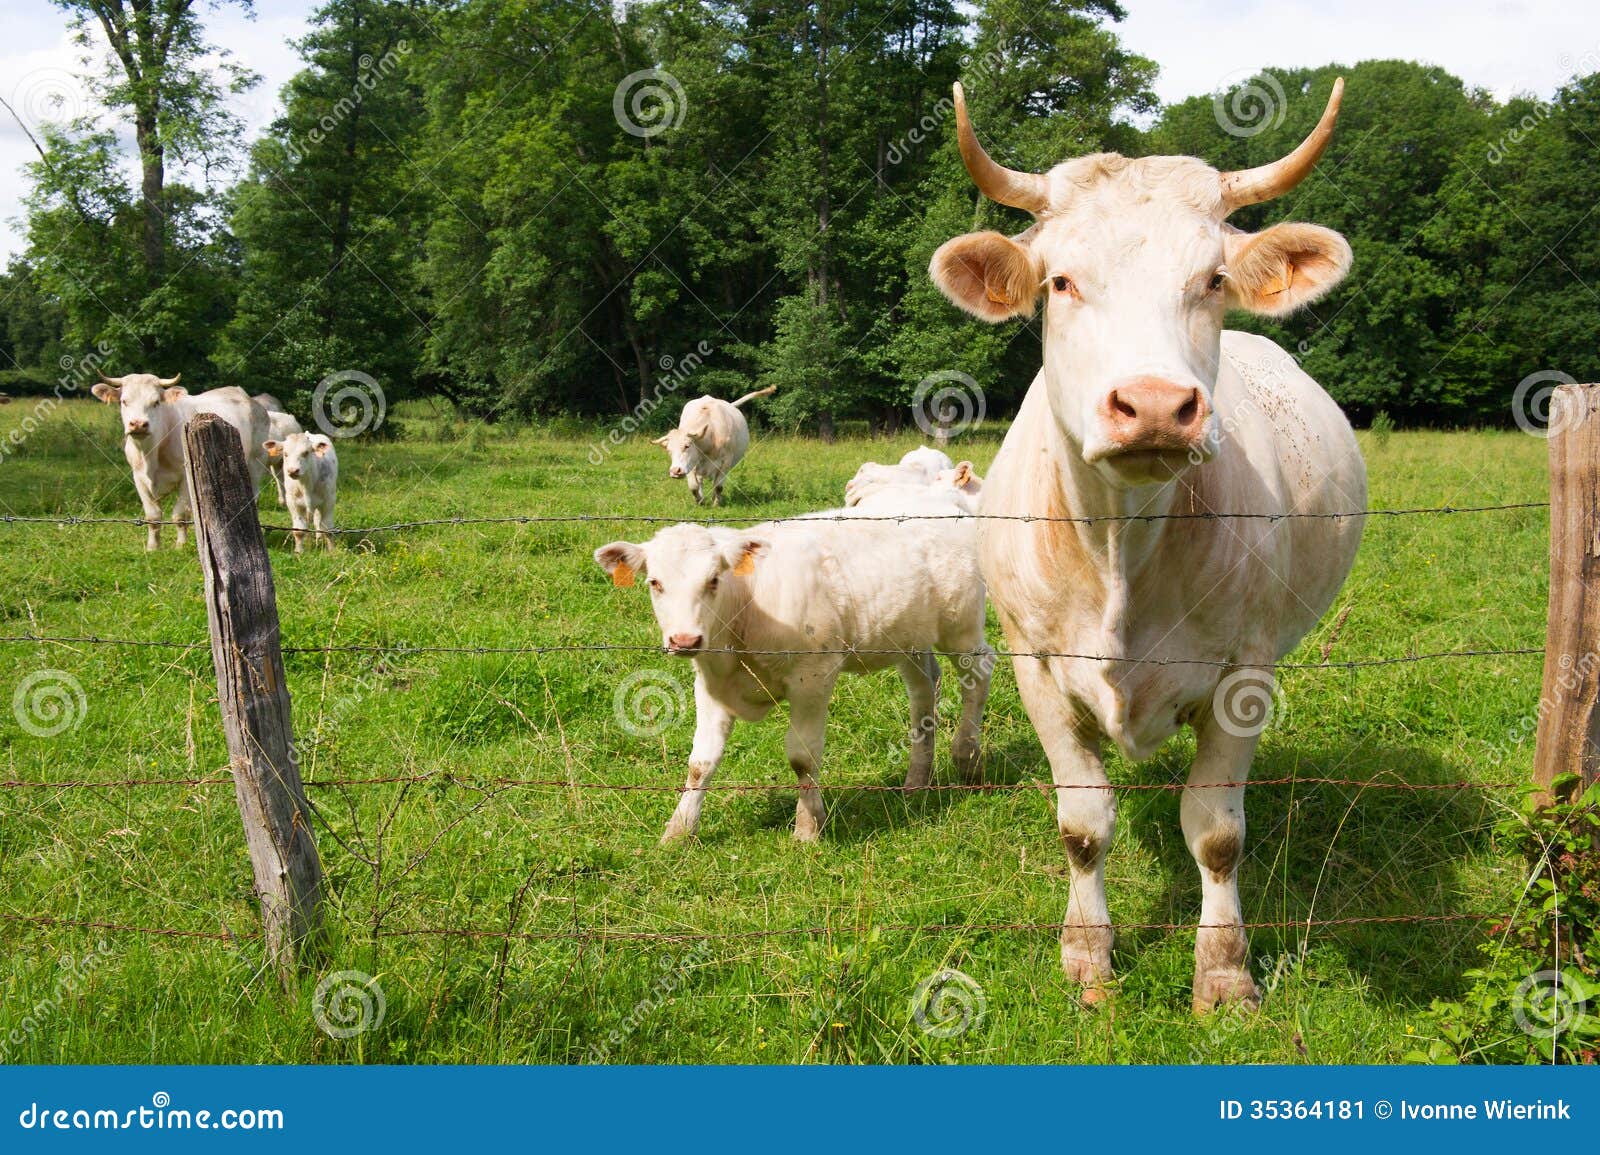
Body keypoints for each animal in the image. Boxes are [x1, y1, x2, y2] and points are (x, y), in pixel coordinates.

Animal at [90, 374, 271, 551]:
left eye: (156, 402)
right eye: (124, 401)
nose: (139, 424)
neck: (150, 454)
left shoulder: (186, 478)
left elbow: (180, 515)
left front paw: (181, 546)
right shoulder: (138, 478)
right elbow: (153, 516)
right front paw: (152, 547)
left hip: (256, 462)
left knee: (254, 495)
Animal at [594, 489, 994, 844]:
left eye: (713, 580)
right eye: (655, 582)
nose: (685, 640)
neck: (745, 605)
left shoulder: (812, 677)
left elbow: (802, 757)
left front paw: (808, 828)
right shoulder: (710, 685)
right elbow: (701, 762)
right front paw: (678, 832)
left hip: (961, 627)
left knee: (979, 673)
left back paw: (967, 758)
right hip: (908, 638)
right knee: (924, 690)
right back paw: (916, 780)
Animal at [929, 80, 1365, 1013]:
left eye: (1212, 279)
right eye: (1061, 280)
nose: (1159, 405)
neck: (1121, 548)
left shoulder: (1244, 671)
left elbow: (1215, 830)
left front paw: (1225, 974)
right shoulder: (1035, 665)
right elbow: (1083, 822)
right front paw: (1088, 960)